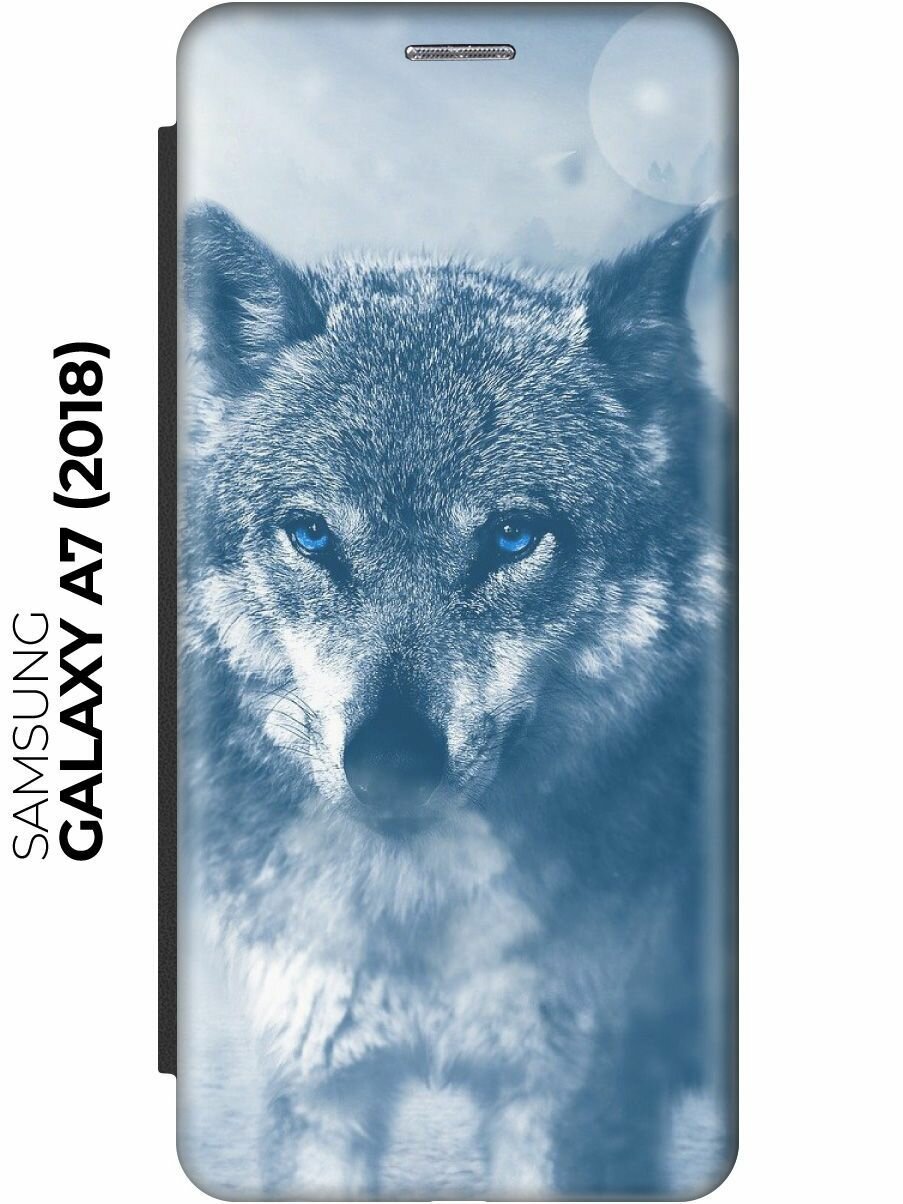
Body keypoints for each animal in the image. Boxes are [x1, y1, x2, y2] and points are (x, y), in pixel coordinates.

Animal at [179, 202, 734, 1199]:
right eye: (311, 535)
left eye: (512, 536)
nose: (392, 764)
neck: (416, 914)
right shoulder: (321, 1088)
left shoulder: (572, 1099)